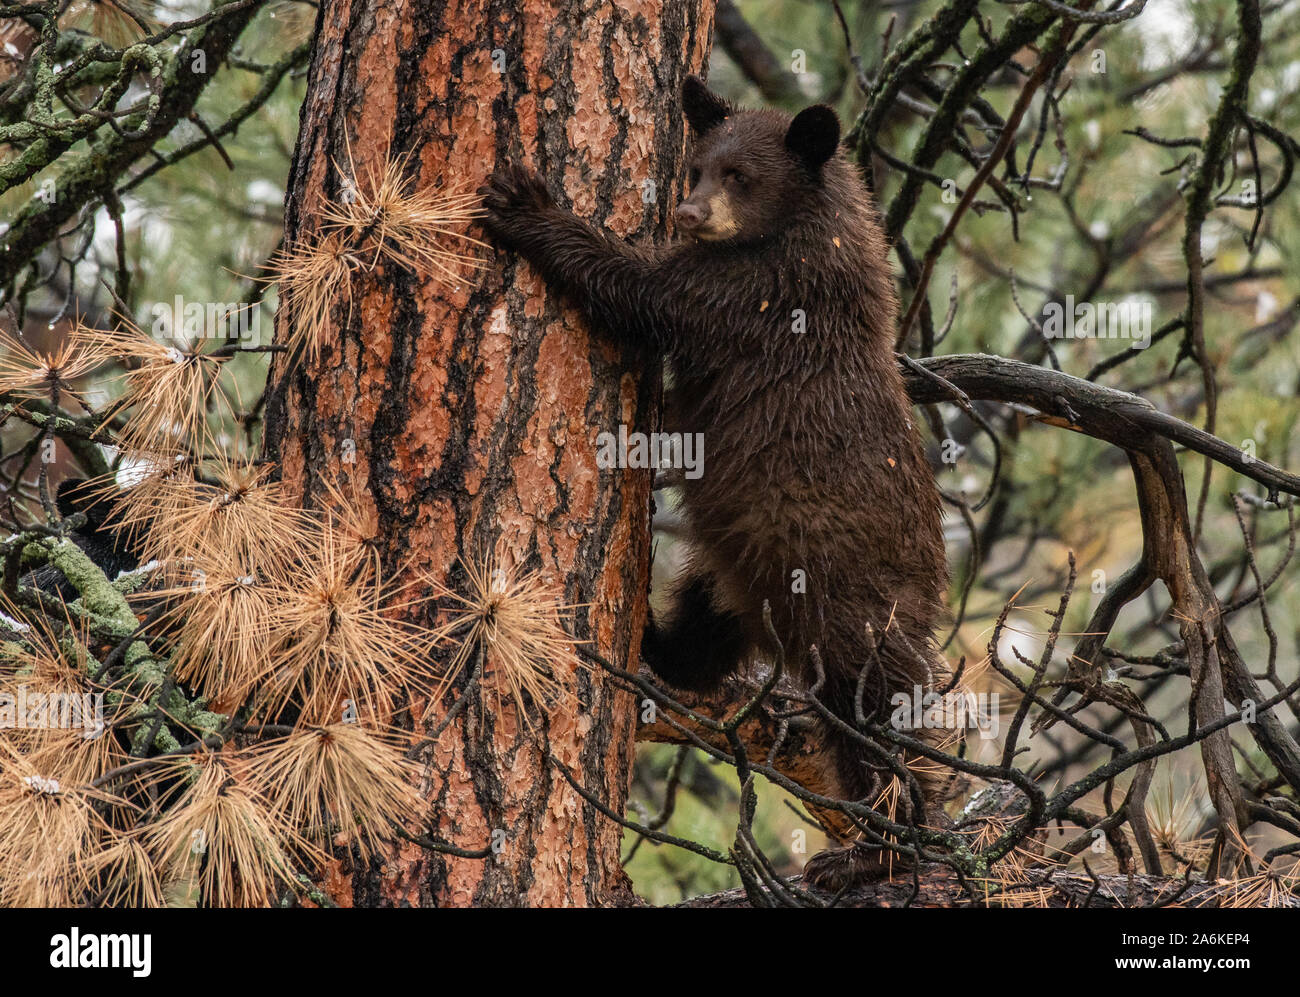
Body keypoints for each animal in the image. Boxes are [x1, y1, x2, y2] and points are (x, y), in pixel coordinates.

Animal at [480, 75, 950, 889]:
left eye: (740, 176)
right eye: (698, 167)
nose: (688, 212)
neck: (809, 234)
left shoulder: (755, 292)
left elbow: (644, 291)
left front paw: (525, 203)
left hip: (852, 604)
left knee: (873, 723)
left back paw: (873, 851)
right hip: (736, 571)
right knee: (705, 635)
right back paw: (649, 633)